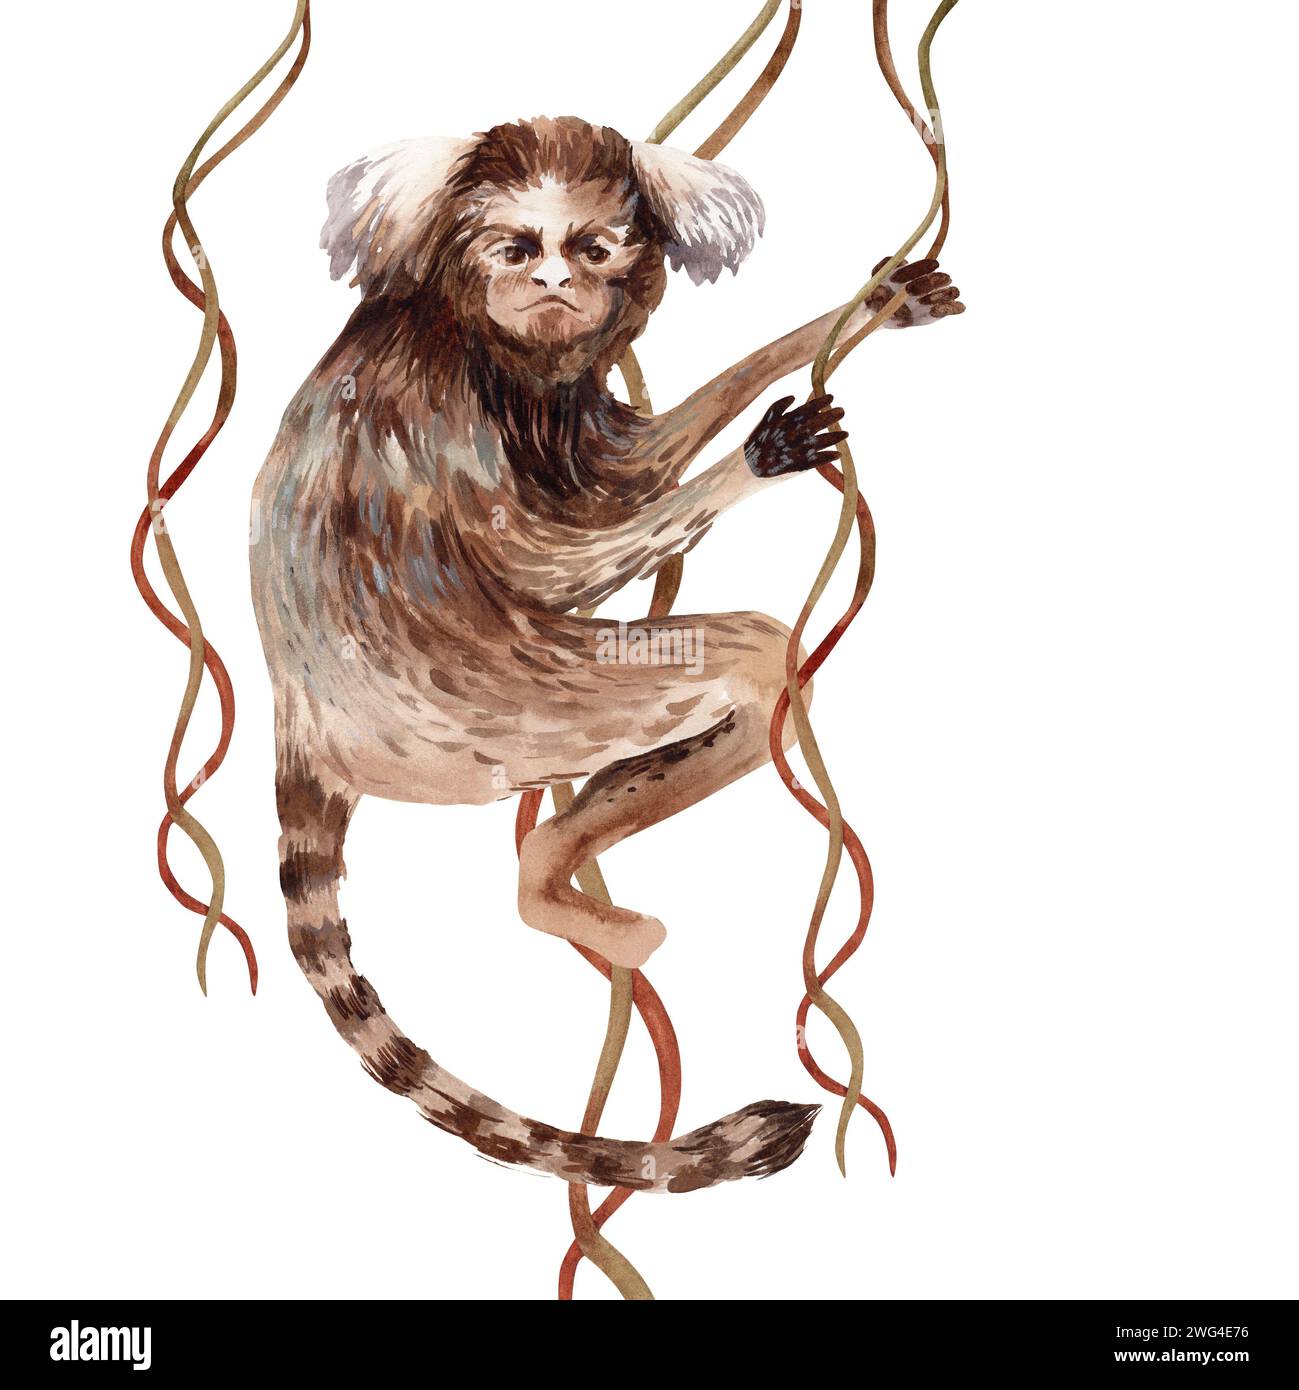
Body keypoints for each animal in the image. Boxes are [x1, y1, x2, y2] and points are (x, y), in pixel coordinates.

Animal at [251, 117, 963, 1194]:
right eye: (517, 249)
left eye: (590, 248)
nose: (554, 285)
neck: (463, 324)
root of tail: (300, 721)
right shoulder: (445, 411)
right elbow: (554, 564)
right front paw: (759, 459)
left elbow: (628, 476)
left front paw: (861, 312)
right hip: (488, 721)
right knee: (756, 661)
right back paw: (546, 879)